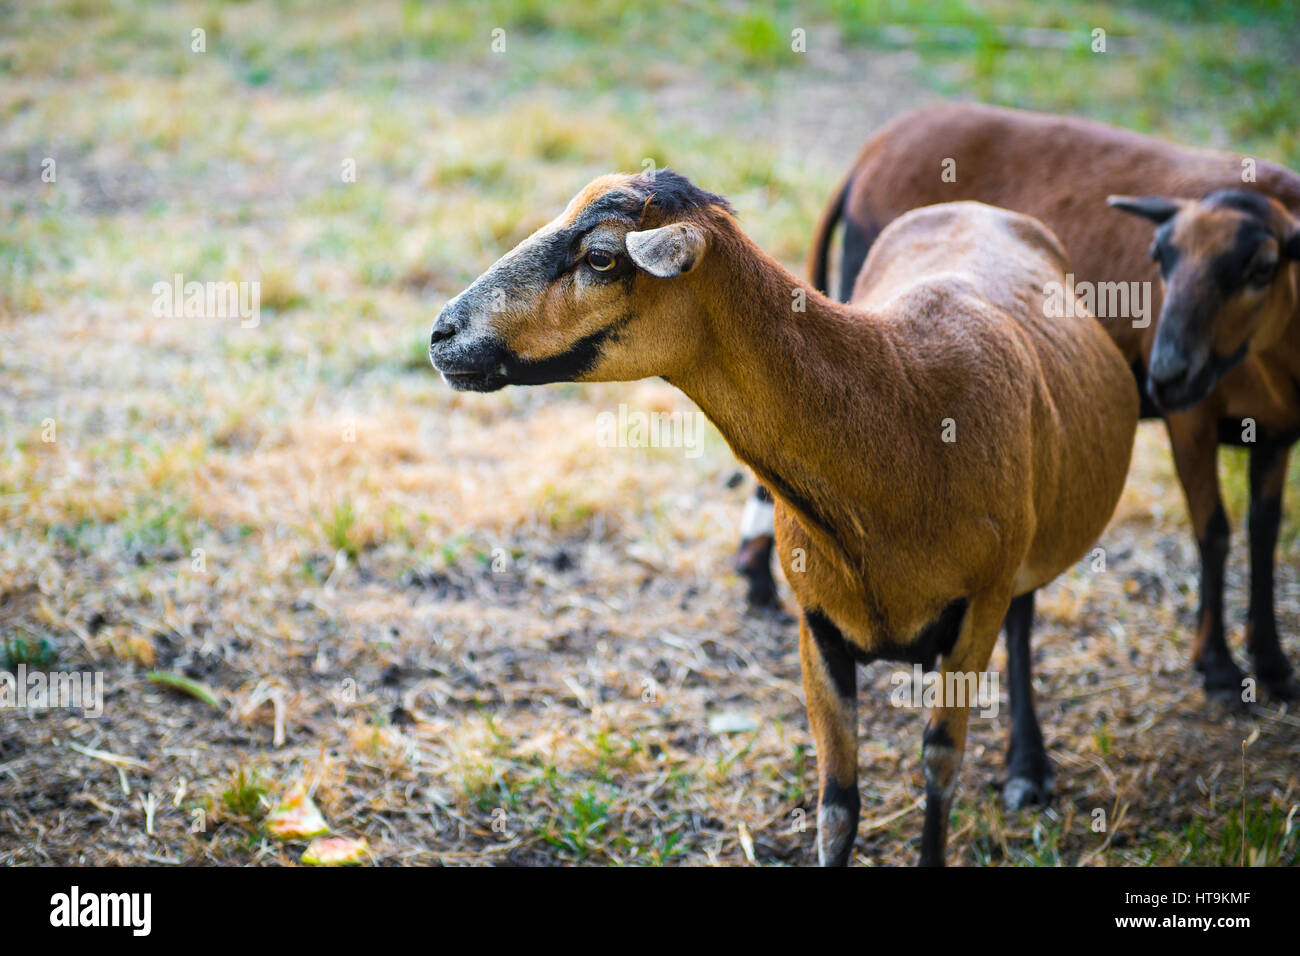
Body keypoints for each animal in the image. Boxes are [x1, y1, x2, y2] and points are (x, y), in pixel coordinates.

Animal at [429, 169, 1138, 865]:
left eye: (601, 257)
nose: (440, 335)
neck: (905, 413)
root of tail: (976, 206)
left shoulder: (975, 610)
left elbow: (940, 763)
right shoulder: (816, 624)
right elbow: (836, 805)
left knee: (1022, 621)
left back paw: (1027, 770)